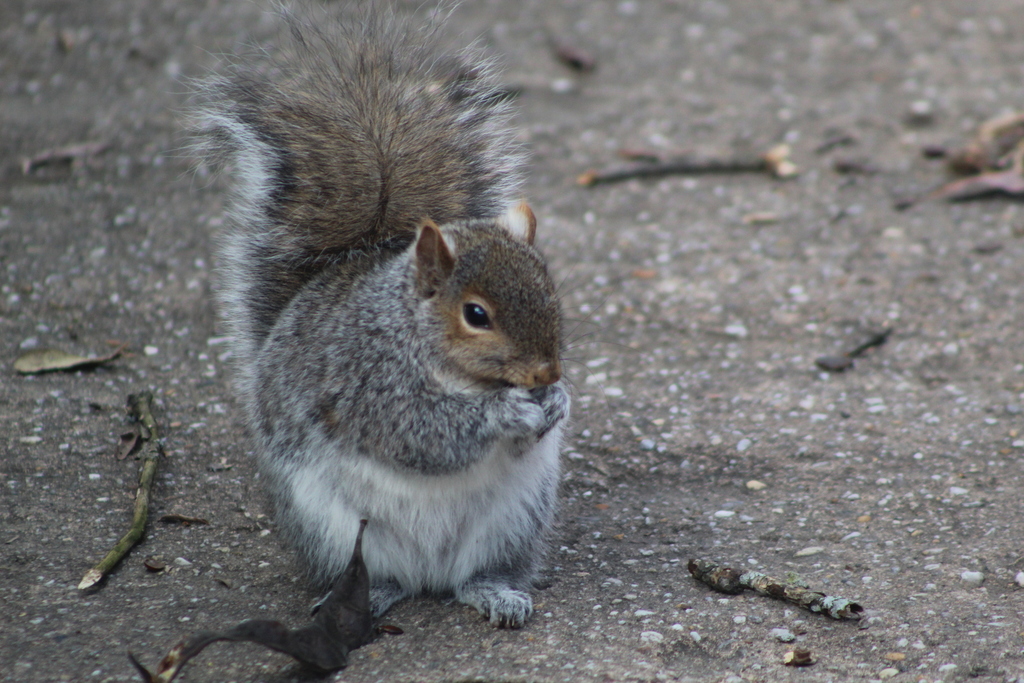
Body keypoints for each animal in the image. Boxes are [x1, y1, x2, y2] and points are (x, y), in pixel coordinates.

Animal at [193, 8, 569, 629]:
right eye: (476, 314)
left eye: (551, 289)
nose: (547, 374)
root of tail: (429, 575)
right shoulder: (368, 381)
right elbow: (422, 433)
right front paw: (506, 412)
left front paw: (558, 404)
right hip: (332, 527)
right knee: (377, 572)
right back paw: (366, 597)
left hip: (516, 522)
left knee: (477, 574)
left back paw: (495, 592)